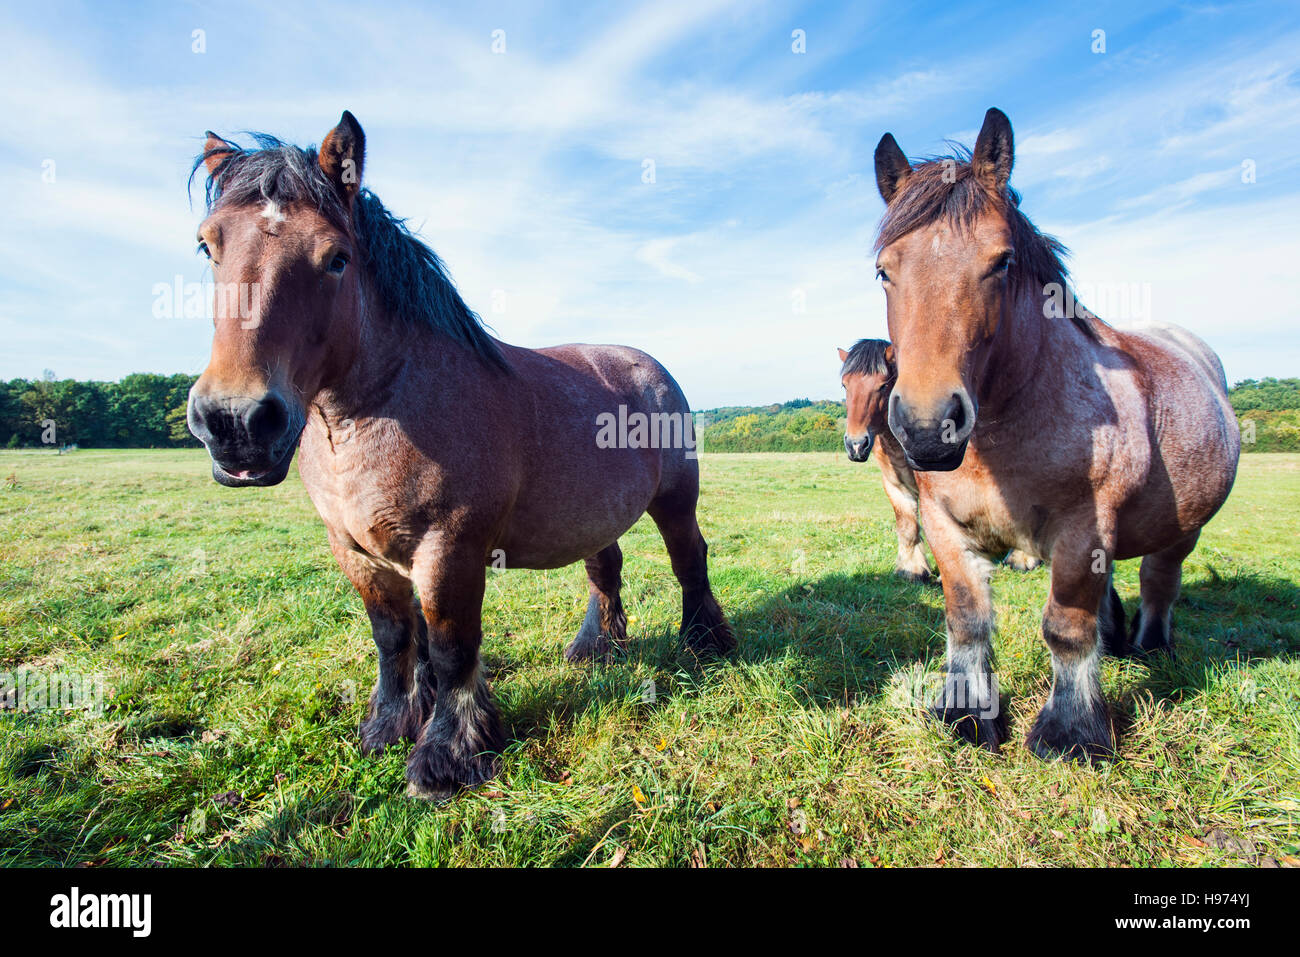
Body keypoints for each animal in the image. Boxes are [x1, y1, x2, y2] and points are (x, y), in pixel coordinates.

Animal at [185, 112, 733, 798]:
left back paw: (705, 644)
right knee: (603, 565)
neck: (381, 412)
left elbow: (449, 648)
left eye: (336, 258)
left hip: (675, 500)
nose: (236, 422)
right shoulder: (358, 551)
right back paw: (595, 649)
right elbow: (396, 640)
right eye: (208, 246)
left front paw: (447, 756)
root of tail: (647, 364)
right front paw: (389, 727)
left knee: (690, 559)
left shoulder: (451, 548)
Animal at [837, 338, 1042, 583]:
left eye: (883, 386)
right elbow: (907, 525)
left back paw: (1022, 558)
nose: (856, 444)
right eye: (845, 385)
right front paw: (912, 569)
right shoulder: (895, 485)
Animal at [868, 108, 1240, 761]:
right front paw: (969, 716)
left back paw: (1150, 645)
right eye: (884, 270)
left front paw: (1070, 732)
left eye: (1001, 261)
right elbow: (967, 620)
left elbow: (1066, 629)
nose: (928, 427)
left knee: (1159, 580)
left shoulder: (1080, 533)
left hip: (1182, 529)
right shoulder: (946, 529)